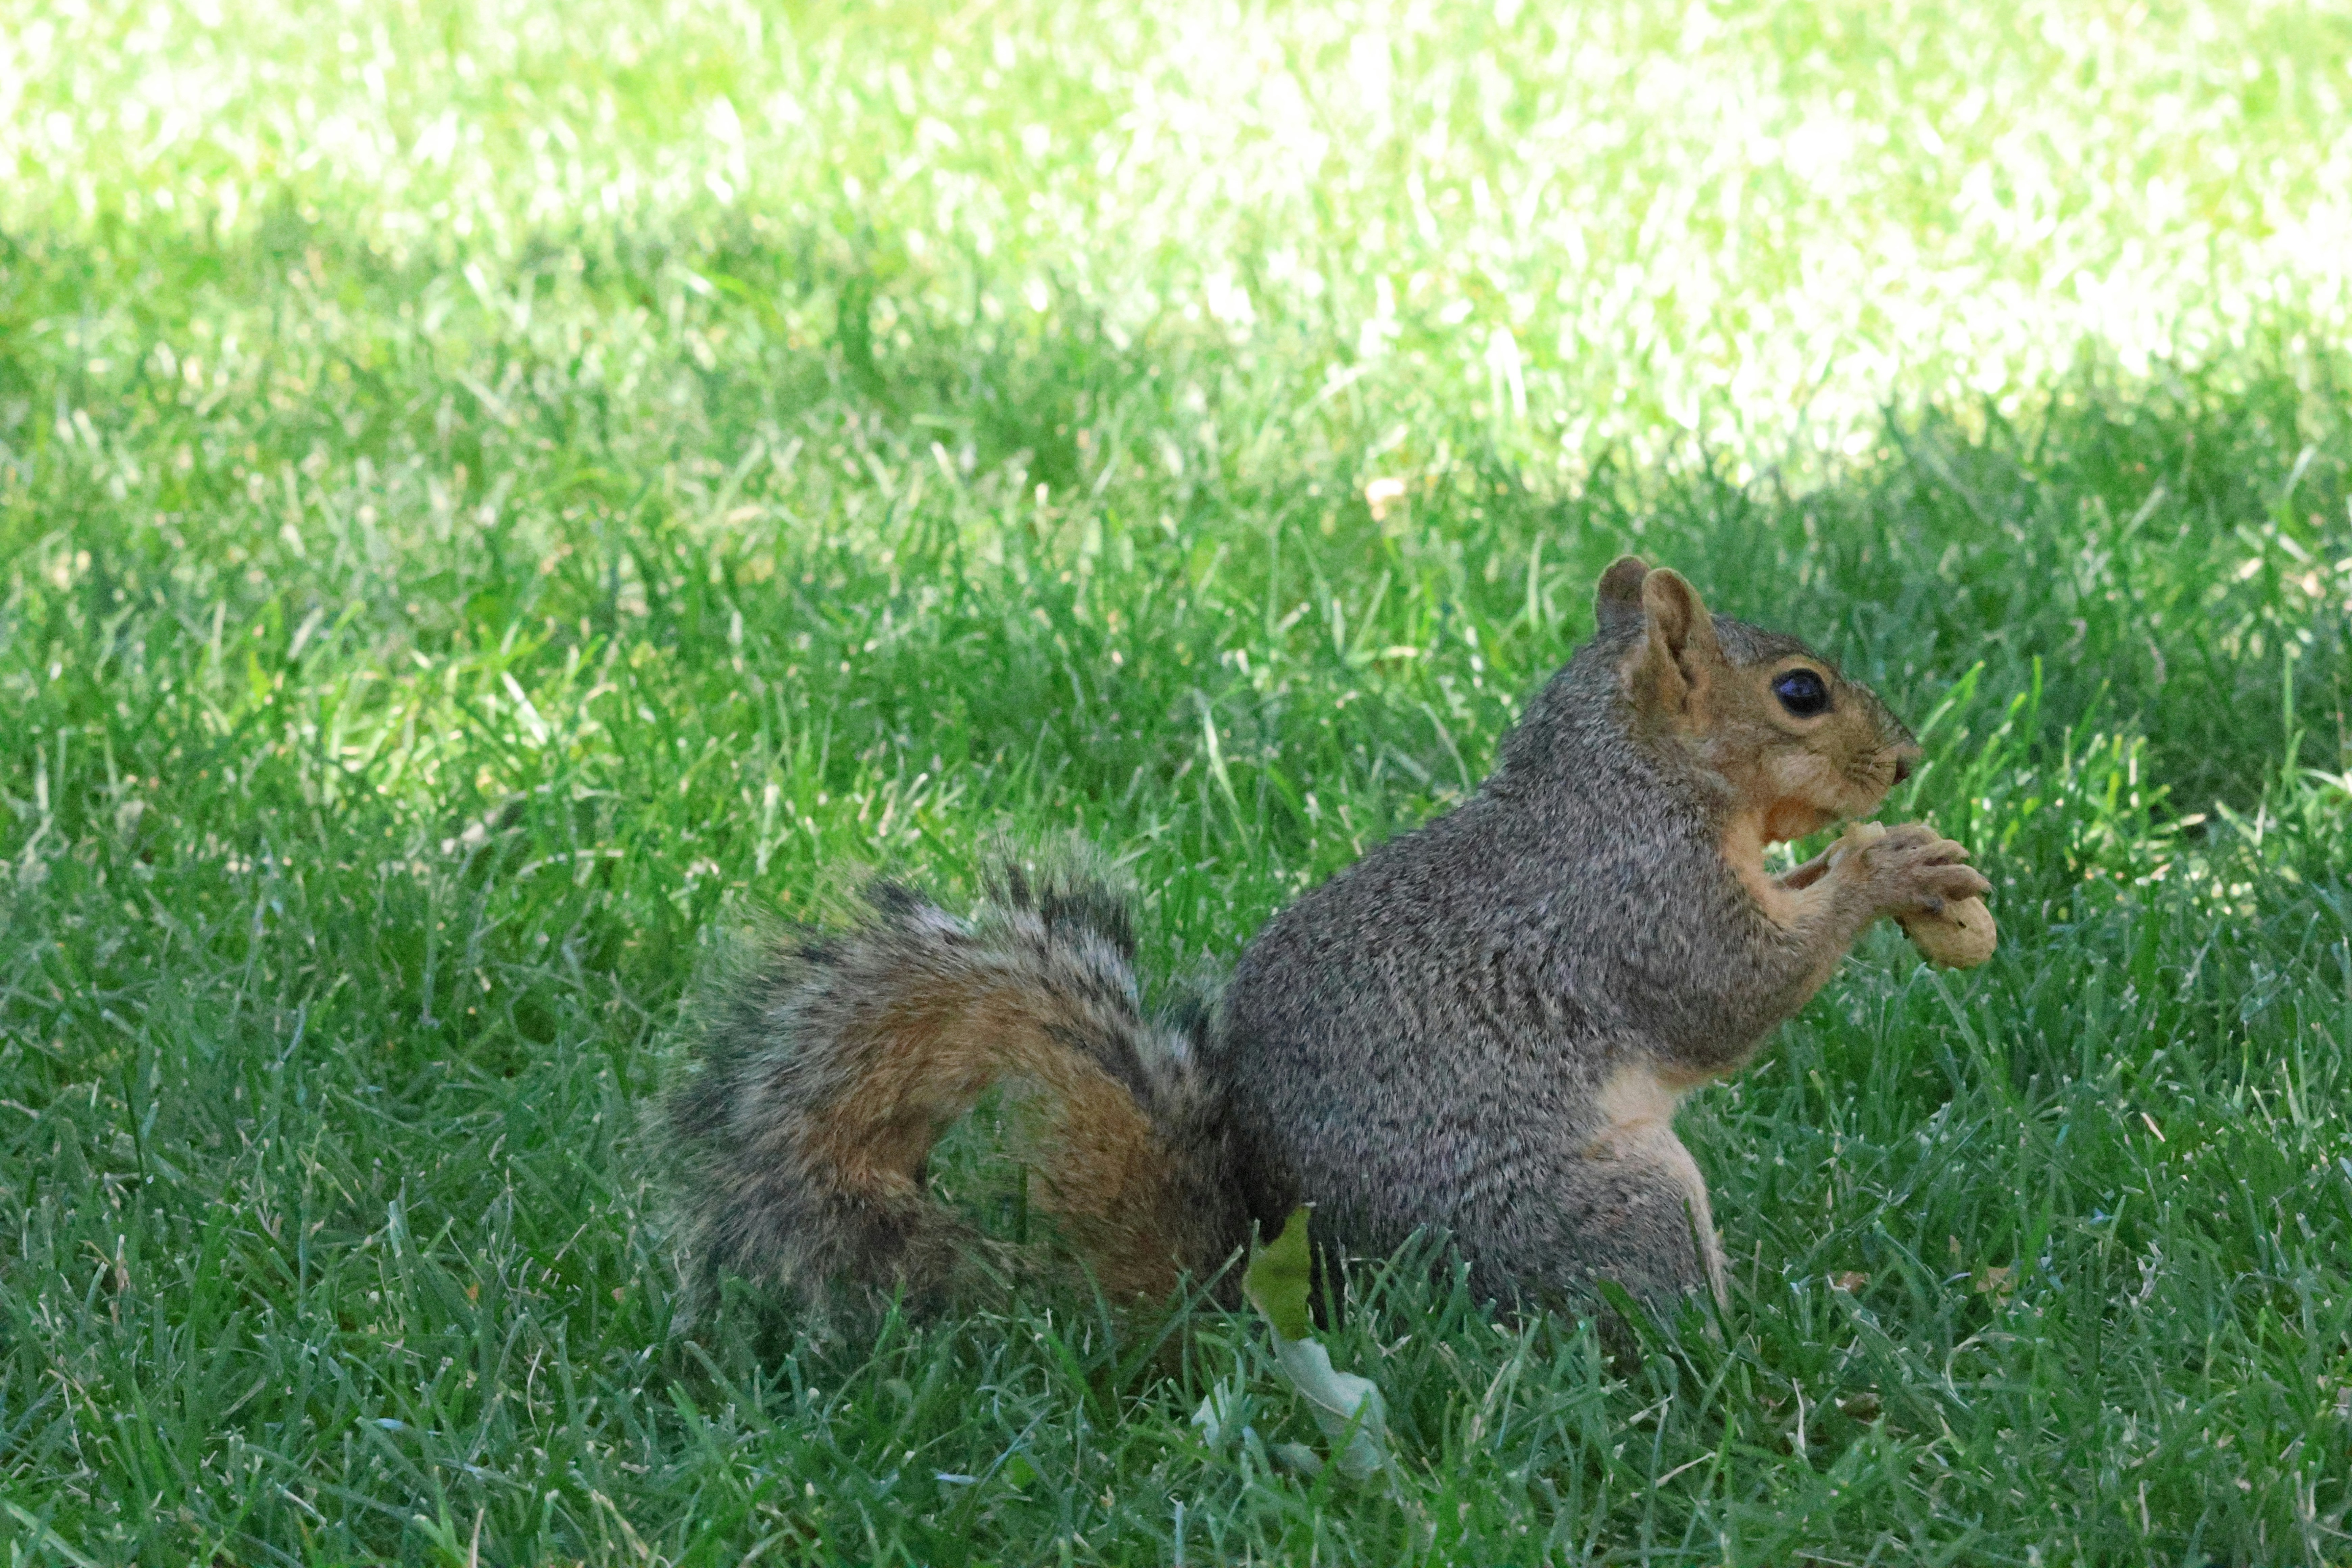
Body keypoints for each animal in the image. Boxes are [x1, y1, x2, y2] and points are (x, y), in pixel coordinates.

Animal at [661, 556, 1991, 1322]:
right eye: (1800, 694)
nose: (1907, 760)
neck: (1622, 779)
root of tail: (1305, 1284)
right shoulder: (1636, 903)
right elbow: (1730, 994)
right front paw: (1888, 868)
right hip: (1600, 1209)